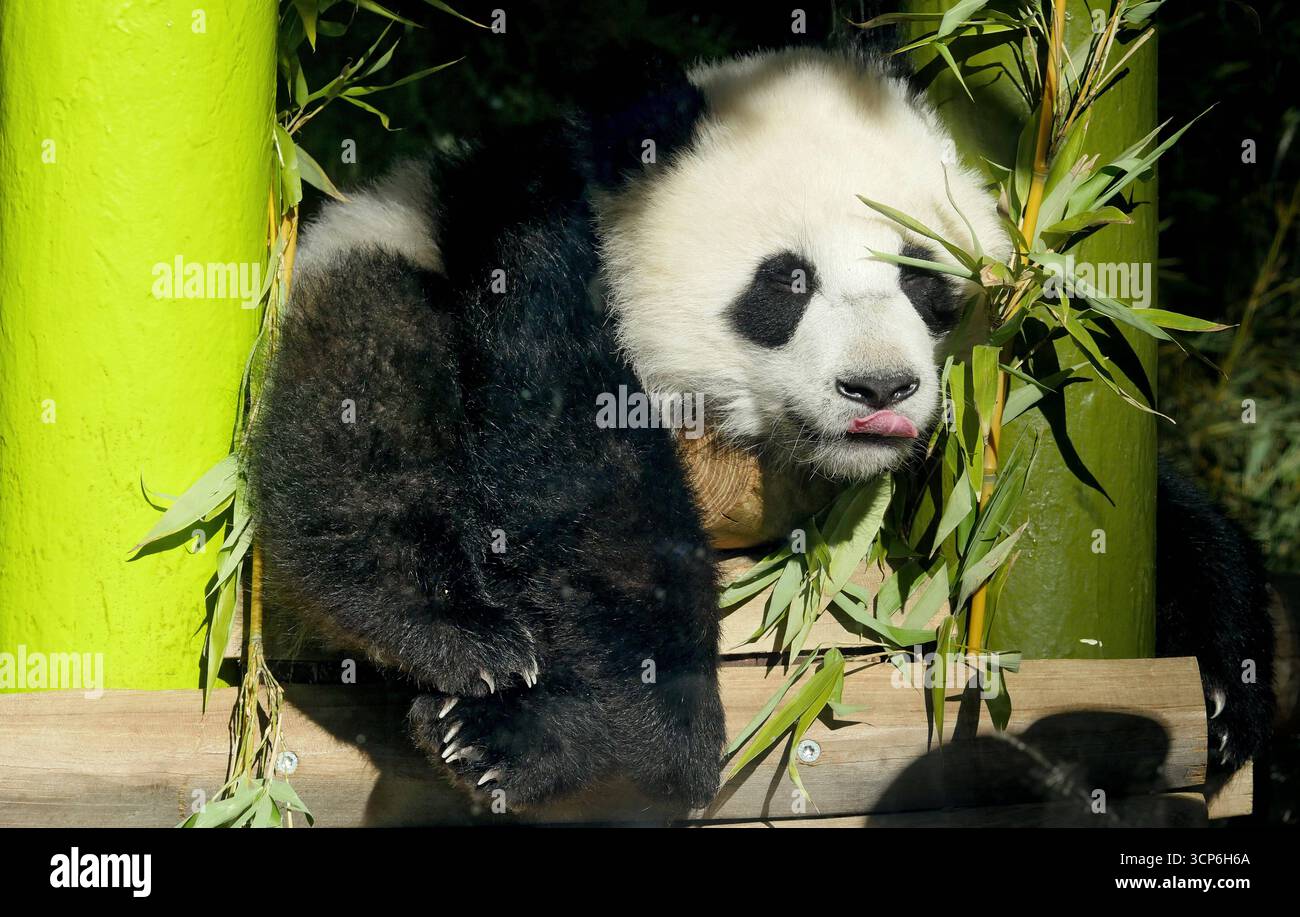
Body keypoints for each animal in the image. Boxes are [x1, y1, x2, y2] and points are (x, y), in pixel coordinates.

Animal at [251, 45, 1275, 810]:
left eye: (921, 276)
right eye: (787, 280)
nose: (879, 386)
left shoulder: (954, 451)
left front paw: (1224, 690)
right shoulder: (529, 236)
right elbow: (582, 473)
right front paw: (616, 733)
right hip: (373, 260)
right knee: (365, 398)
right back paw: (457, 644)